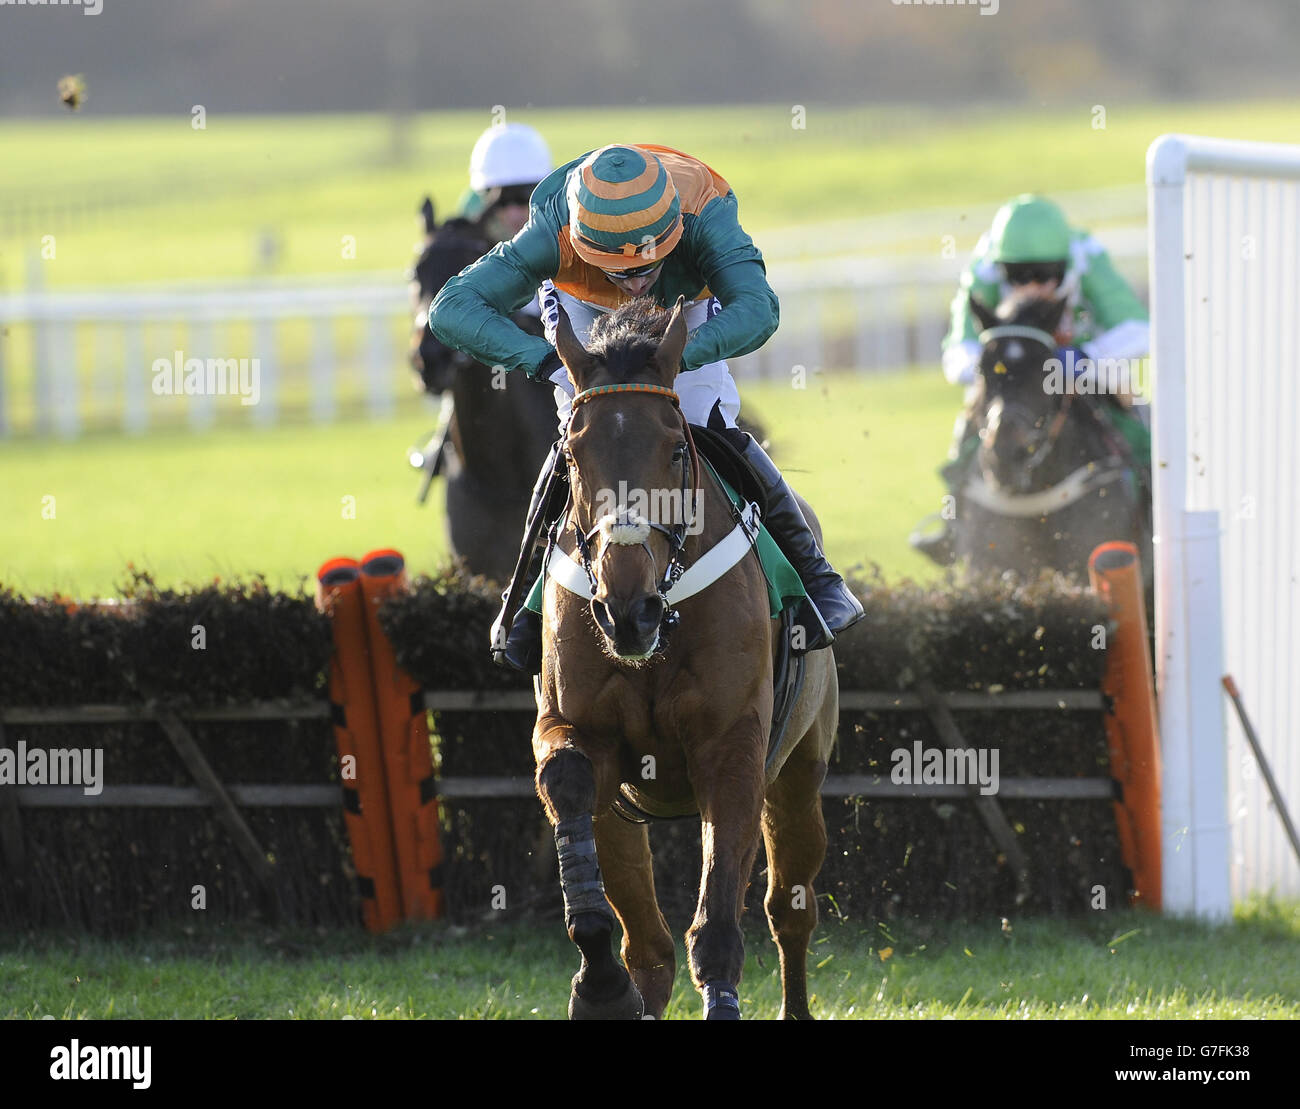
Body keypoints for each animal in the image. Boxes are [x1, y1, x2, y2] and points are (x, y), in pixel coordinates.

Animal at [531, 295, 840, 1020]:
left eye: (676, 448)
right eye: (572, 452)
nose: (627, 608)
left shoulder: (732, 746)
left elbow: (720, 921)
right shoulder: (574, 728)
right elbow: (566, 775)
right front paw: (597, 983)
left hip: (800, 771)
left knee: (789, 909)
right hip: (624, 814)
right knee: (648, 947)